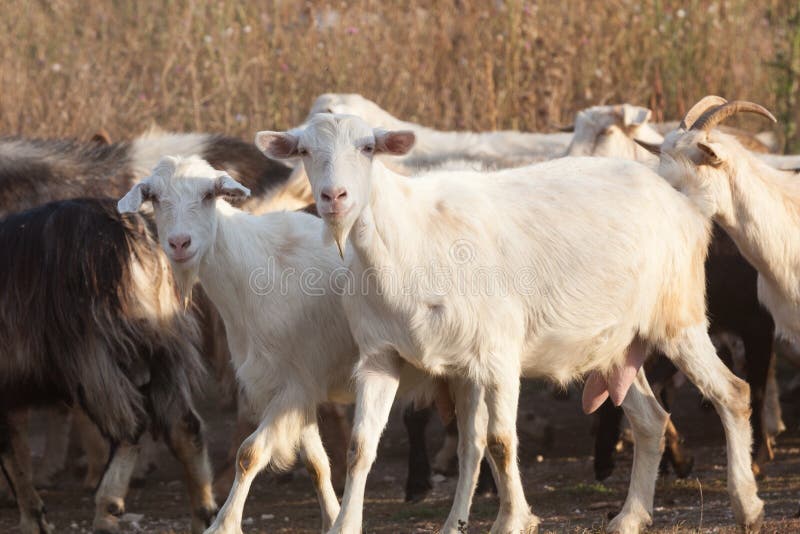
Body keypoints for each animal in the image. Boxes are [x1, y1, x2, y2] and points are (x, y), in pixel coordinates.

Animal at [0, 198, 216, 534]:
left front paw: (33, 520)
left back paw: (107, 508)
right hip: (163, 349)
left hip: (98, 355)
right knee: (185, 425)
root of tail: (134, 235)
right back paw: (203, 515)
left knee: (131, 427)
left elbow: (12, 455)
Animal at [117, 155, 437, 533]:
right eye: (153, 197)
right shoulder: (301, 388)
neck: (250, 271)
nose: (180, 243)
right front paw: (332, 518)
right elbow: (316, 463)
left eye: (209, 194)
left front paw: (224, 524)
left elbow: (249, 454)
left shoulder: (291, 386)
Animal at [257, 113, 763, 534]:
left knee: (732, 393)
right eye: (304, 151)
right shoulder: (380, 356)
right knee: (651, 420)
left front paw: (512, 521)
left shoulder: (497, 352)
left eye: (368, 148)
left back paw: (747, 506)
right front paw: (345, 525)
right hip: (617, 343)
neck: (408, 240)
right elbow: (362, 447)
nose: (334, 198)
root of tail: (683, 201)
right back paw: (630, 517)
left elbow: (500, 441)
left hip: (677, 318)